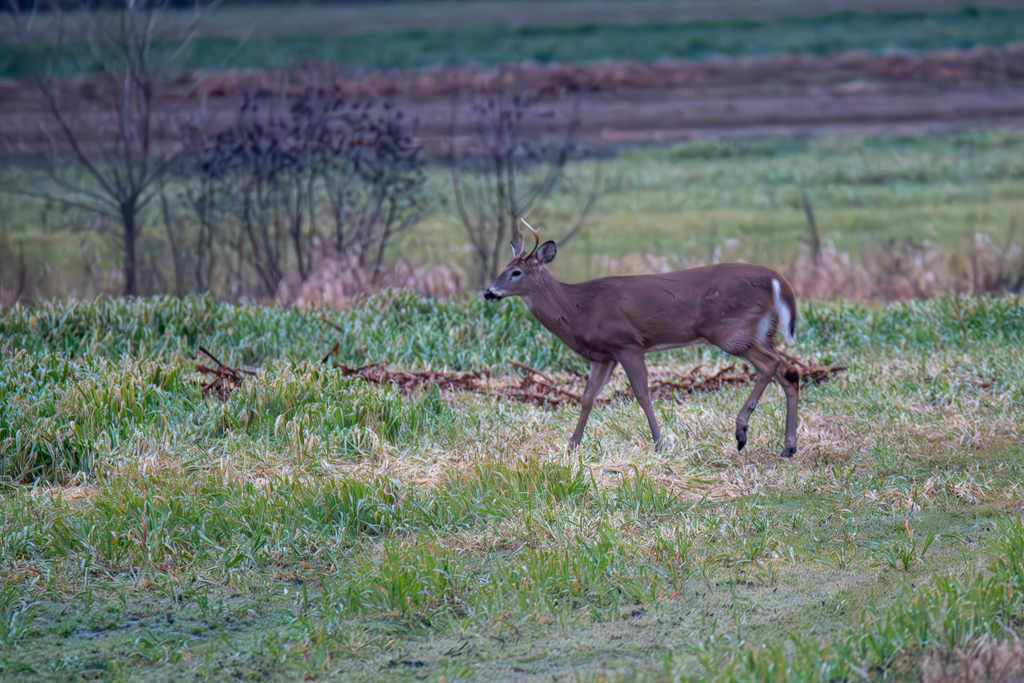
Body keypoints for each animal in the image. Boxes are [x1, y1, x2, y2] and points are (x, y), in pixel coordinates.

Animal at [484, 220, 801, 458]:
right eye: (503, 269)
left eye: (516, 272)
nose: (488, 292)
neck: (578, 308)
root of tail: (778, 280)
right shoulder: (604, 355)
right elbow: (587, 397)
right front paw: (571, 447)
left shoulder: (627, 344)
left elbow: (642, 394)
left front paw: (660, 443)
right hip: (761, 330)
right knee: (789, 370)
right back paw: (788, 447)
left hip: (730, 331)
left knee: (770, 365)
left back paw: (741, 432)